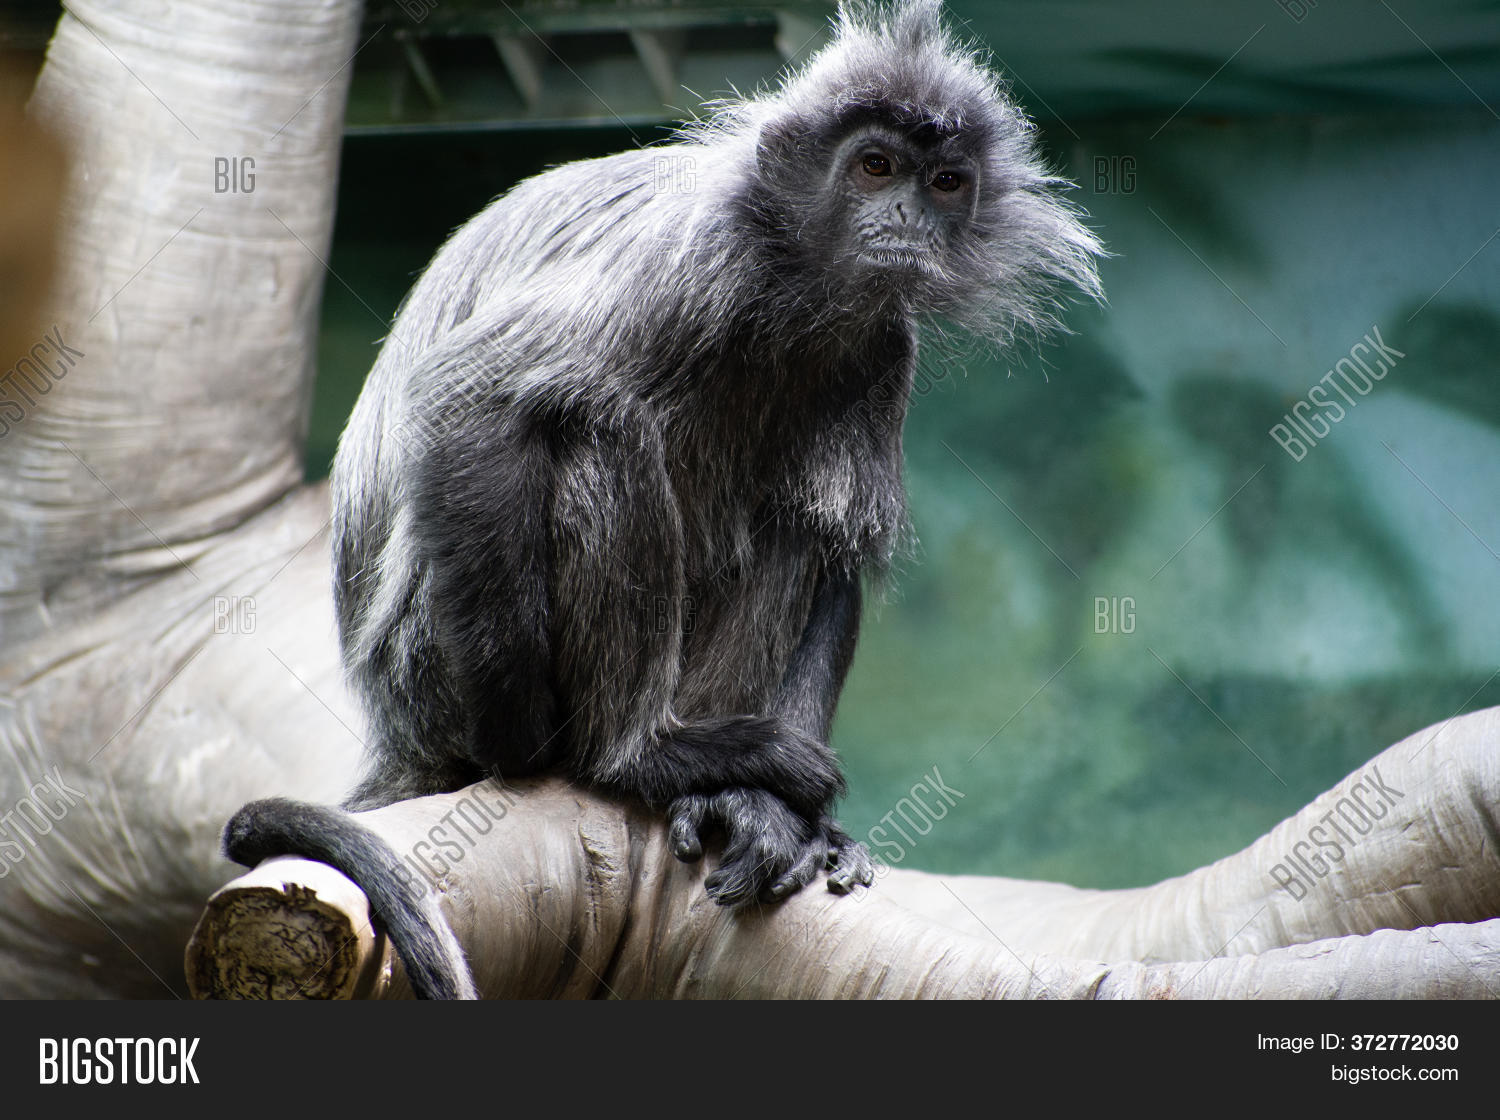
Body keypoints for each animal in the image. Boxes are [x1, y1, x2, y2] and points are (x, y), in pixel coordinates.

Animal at [224, 0, 1102, 999]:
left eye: (948, 182)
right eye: (876, 167)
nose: (909, 218)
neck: (789, 289)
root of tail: (390, 722)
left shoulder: (884, 350)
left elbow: (834, 541)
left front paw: (781, 820)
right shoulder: (690, 257)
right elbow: (470, 397)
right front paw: (524, 744)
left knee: (787, 521)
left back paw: (729, 794)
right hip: (426, 660)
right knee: (596, 426)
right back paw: (632, 755)